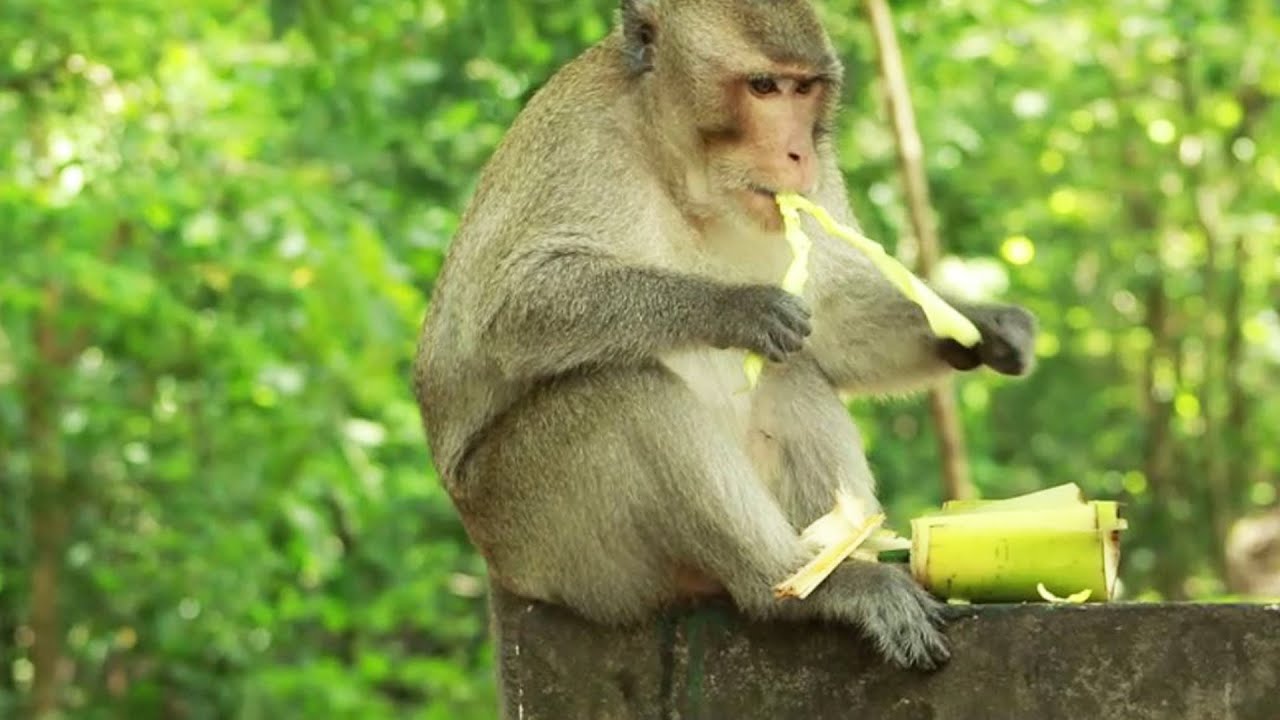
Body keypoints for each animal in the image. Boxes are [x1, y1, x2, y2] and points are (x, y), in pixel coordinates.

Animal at [412, 0, 1036, 672]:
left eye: (804, 89)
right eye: (762, 87)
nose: (798, 153)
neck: (679, 170)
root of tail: (503, 573)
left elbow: (832, 323)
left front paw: (983, 328)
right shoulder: (580, 145)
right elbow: (510, 310)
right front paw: (738, 308)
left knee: (792, 371)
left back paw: (836, 558)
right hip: (548, 542)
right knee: (622, 395)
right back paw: (800, 588)